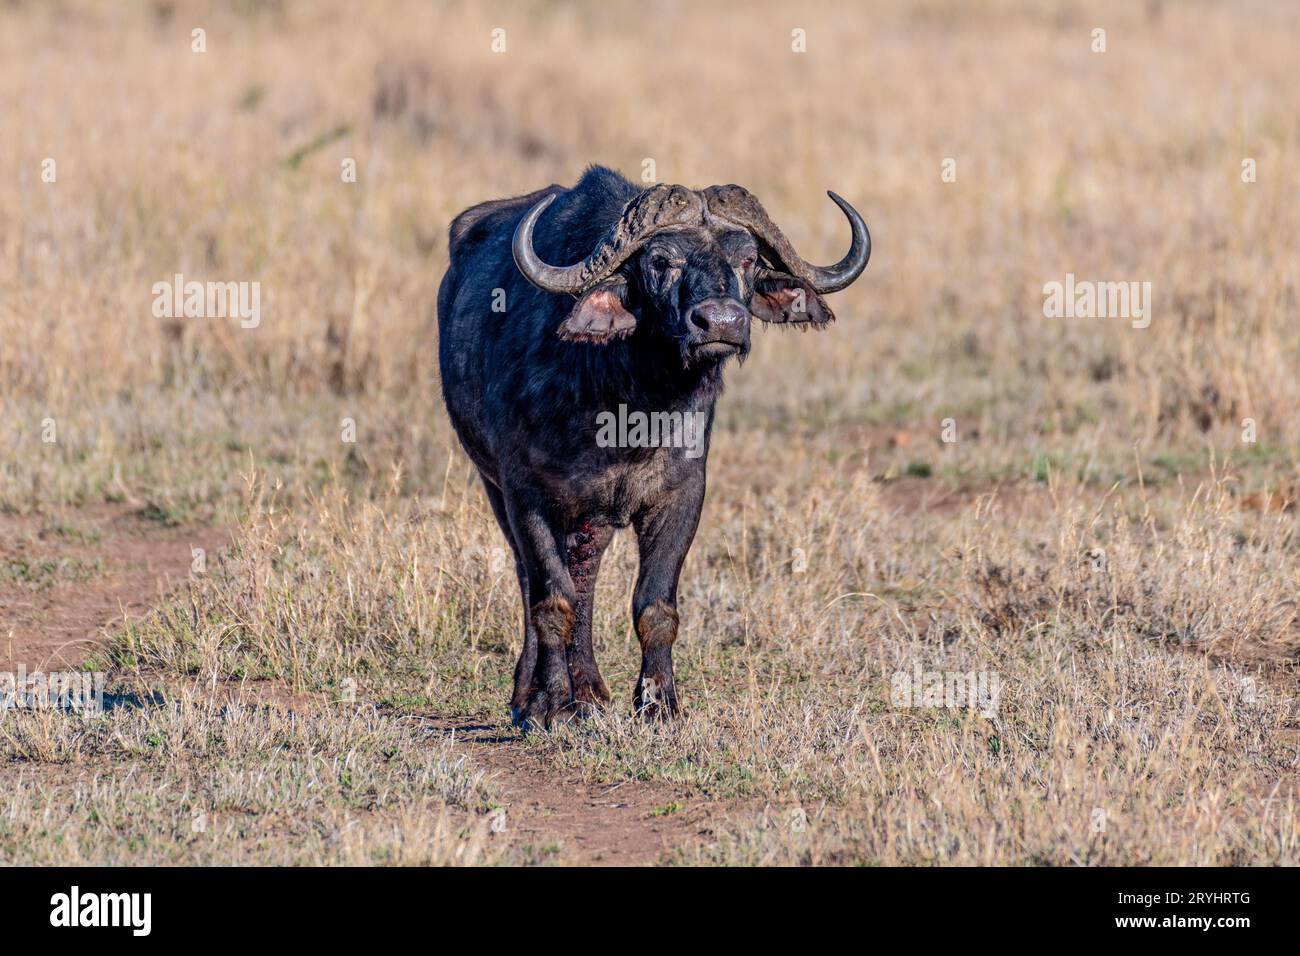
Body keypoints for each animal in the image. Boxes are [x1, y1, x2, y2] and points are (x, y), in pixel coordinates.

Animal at [437, 166, 870, 729]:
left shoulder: (682, 495)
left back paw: (590, 692)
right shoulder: (524, 494)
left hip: (591, 520)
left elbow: (654, 605)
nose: (721, 323)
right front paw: (549, 703)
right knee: (533, 579)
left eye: (747, 259)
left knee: (586, 574)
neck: (628, 401)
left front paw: (658, 701)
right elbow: (551, 599)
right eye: (661, 261)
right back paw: (531, 696)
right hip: (495, 487)